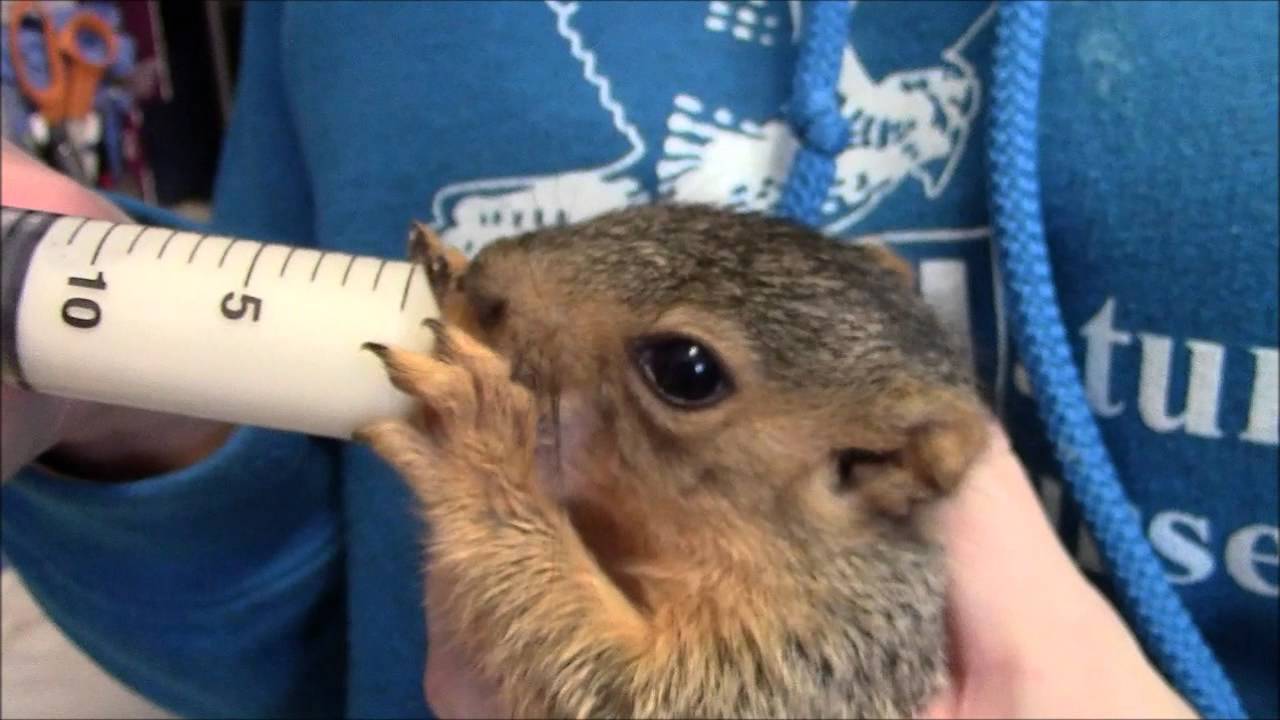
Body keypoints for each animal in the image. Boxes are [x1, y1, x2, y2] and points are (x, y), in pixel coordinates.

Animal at [356, 204, 992, 719]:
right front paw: (445, 266)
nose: (486, 282)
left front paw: (484, 447)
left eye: (687, 369)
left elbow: (636, 692)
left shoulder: (816, 656)